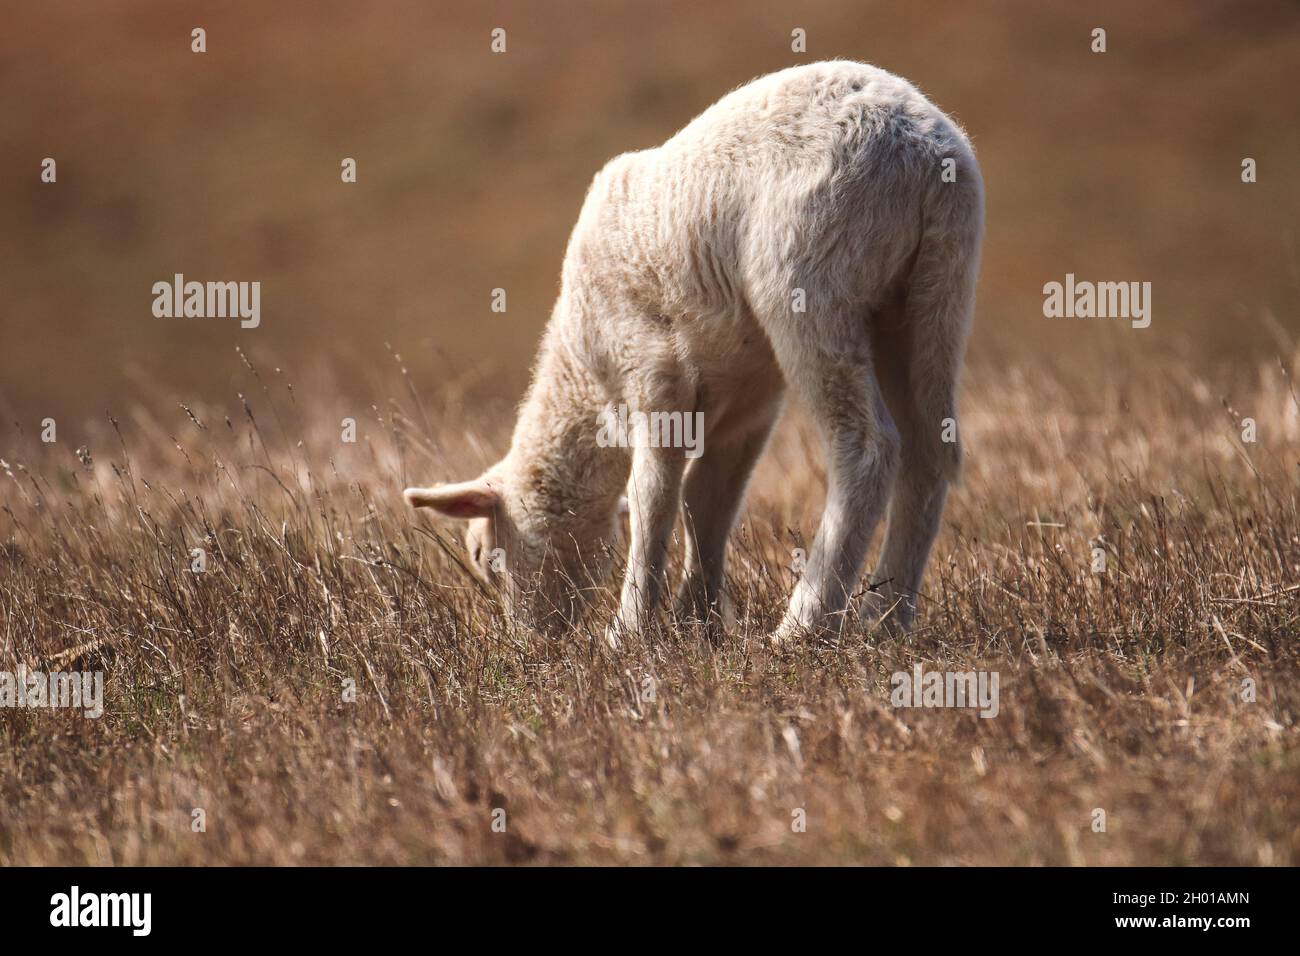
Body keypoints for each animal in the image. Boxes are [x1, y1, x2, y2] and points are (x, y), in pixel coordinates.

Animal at [405, 60, 984, 646]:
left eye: (484, 555)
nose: (527, 641)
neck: (587, 376)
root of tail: (921, 148)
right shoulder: (747, 400)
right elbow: (706, 500)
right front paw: (697, 620)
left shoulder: (653, 372)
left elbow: (652, 497)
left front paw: (630, 630)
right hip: (937, 290)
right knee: (930, 450)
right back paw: (885, 618)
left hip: (810, 273)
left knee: (867, 445)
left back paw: (804, 622)